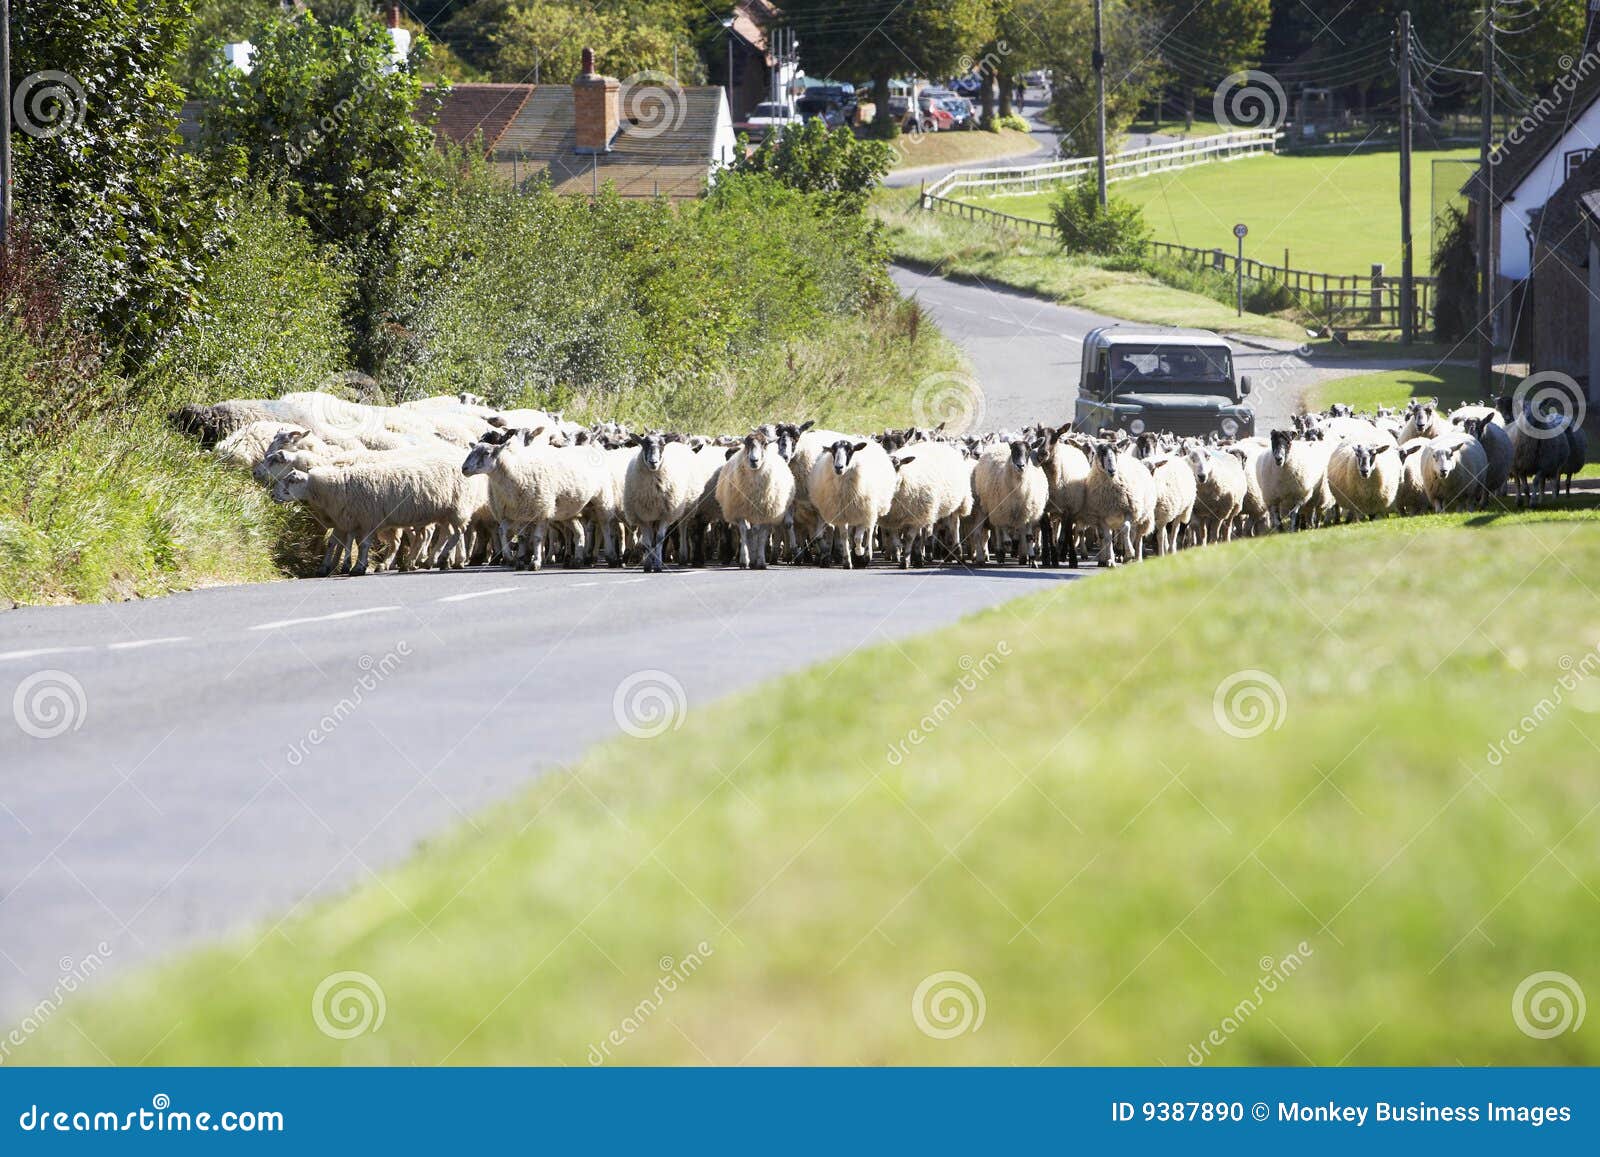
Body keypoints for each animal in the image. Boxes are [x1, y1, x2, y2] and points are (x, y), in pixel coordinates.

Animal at [623, 431, 701, 573]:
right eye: (643, 444)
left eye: (662, 444)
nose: (653, 462)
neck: (651, 493)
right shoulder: (643, 516)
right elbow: (647, 542)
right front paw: (648, 565)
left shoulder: (665, 515)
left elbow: (660, 539)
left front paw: (658, 566)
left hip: (685, 508)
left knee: (682, 527)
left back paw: (682, 557)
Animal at [715, 431, 796, 570]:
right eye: (746, 444)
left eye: (765, 444)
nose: (754, 460)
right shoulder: (740, 510)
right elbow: (744, 531)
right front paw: (744, 560)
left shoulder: (765, 512)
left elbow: (761, 535)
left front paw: (761, 561)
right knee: (750, 531)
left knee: (758, 531)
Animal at [808, 438, 896, 570]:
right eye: (833, 450)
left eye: (850, 450)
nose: (838, 467)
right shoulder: (841, 514)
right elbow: (845, 537)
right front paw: (847, 560)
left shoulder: (863, 512)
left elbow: (858, 537)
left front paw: (860, 553)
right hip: (851, 513)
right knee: (851, 533)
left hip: (870, 509)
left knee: (869, 531)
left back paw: (867, 553)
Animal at [970, 434, 1049, 566]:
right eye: (1013, 449)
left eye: (1029, 450)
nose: (1020, 466)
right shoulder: (1002, 510)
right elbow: (1004, 533)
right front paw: (1007, 547)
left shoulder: (1028, 512)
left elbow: (1028, 536)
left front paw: (1032, 559)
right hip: (986, 507)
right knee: (985, 531)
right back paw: (988, 556)